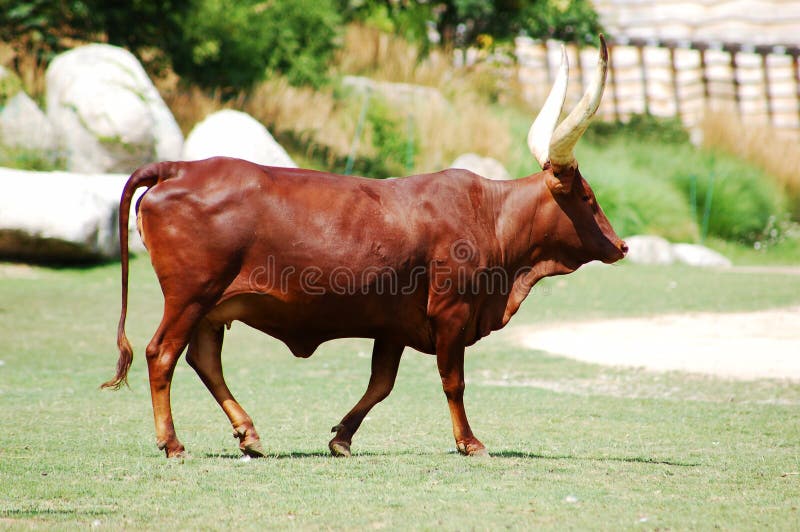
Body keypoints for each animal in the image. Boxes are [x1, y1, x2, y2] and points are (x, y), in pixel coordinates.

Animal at [103, 36, 626, 459]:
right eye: (587, 197)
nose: (621, 244)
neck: (489, 216)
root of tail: (178, 167)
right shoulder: (452, 313)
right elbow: (452, 381)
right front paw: (469, 442)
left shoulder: (393, 323)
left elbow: (381, 384)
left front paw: (341, 437)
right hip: (190, 296)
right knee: (161, 355)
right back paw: (173, 443)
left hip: (213, 307)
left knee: (204, 360)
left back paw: (248, 435)